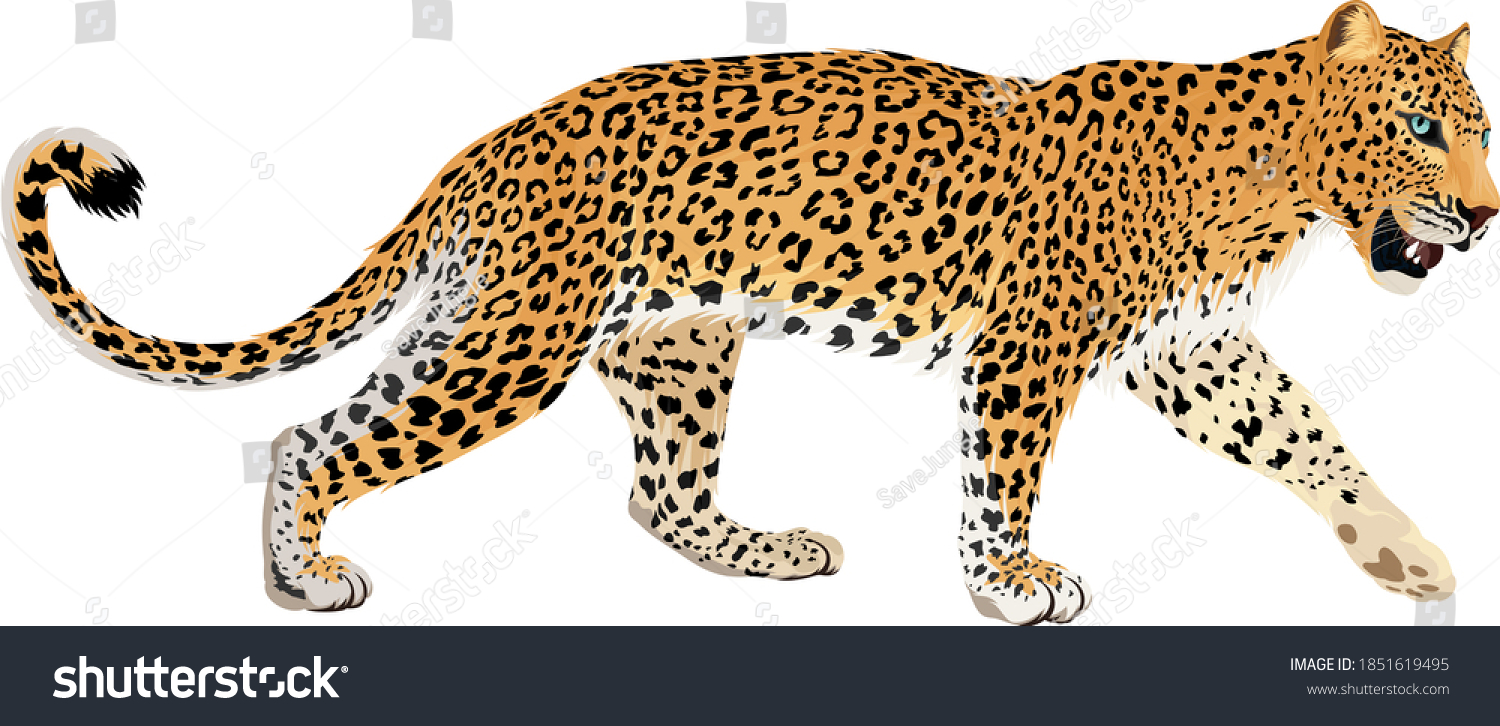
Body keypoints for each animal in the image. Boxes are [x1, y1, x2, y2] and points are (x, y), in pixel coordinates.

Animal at [4, 1, 1492, 623]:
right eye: (1425, 130)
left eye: (1477, 131)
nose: (1484, 216)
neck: (1278, 186)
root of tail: (480, 152)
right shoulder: (1037, 344)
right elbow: (1002, 475)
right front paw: (1009, 583)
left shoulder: (1192, 347)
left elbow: (1307, 435)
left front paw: (1413, 558)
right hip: (510, 347)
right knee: (316, 433)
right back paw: (302, 580)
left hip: (652, 345)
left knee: (654, 494)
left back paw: (773, 551)